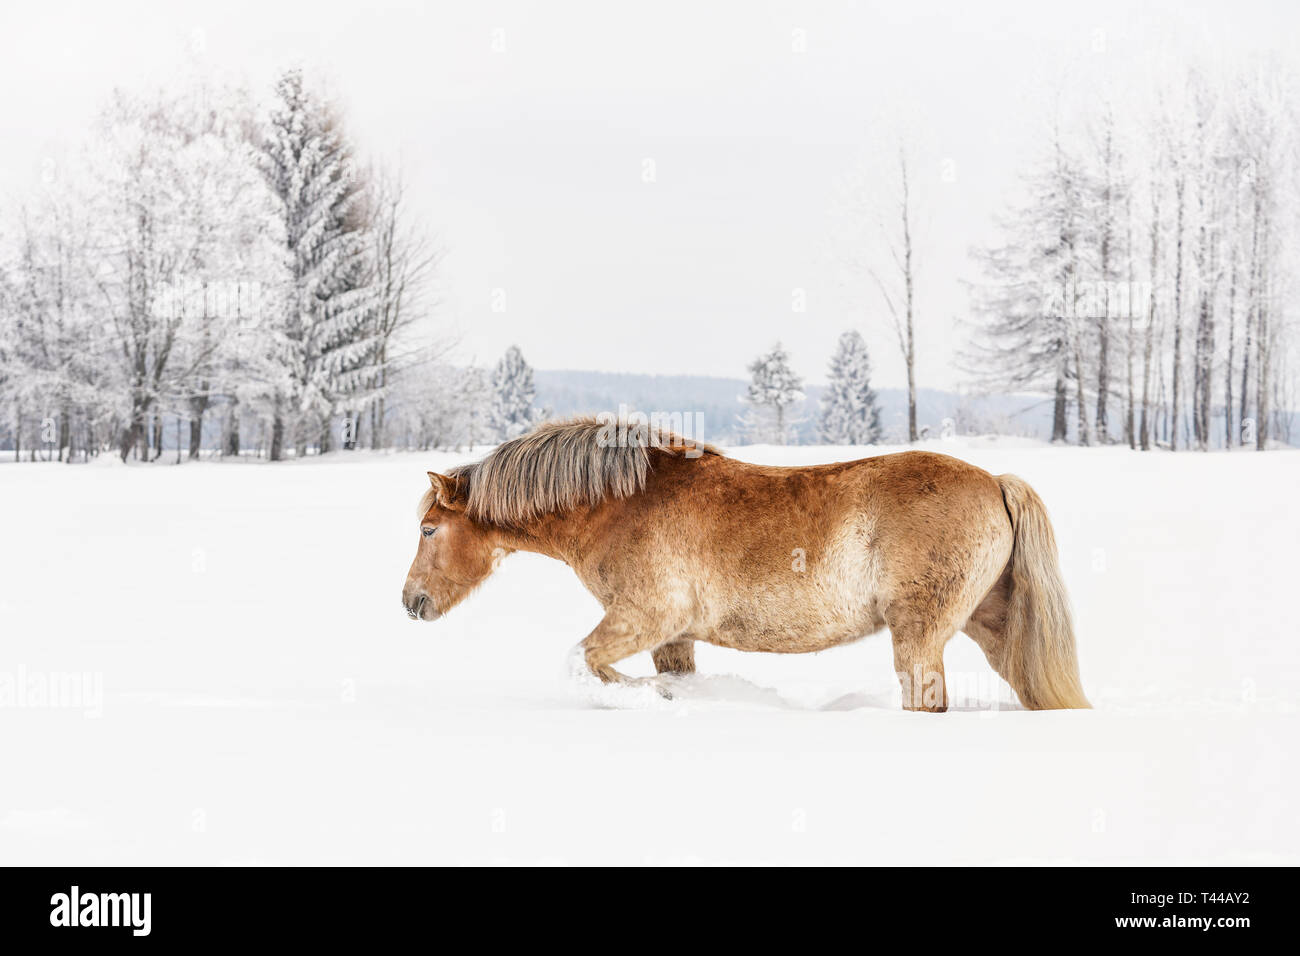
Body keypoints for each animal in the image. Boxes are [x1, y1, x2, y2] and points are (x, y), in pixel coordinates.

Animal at [401, 417, 1089, 712]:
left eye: (429, 529)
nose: (411, 602)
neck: (623, 502)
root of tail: (995, 482)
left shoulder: (646, 617)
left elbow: (584, 661)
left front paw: (645, 698)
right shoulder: (673, 635)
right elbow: (661, 673)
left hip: (919, 633)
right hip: (990, 626)